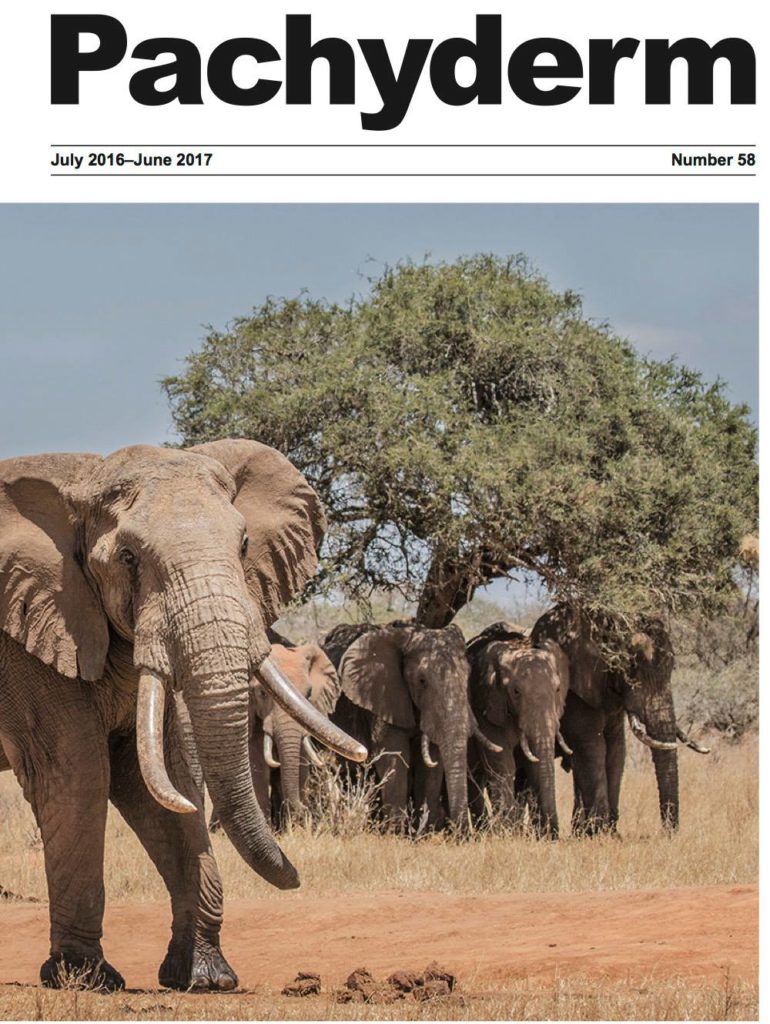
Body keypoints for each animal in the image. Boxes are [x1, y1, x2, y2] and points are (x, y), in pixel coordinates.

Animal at [0, 440, 365, 991]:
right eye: (128, 558)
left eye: (243, 546)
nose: (298, 876)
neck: (84, 481)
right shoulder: (29, 634)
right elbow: (76, 772)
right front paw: (84, 978)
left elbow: (162, 776)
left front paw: (205, 977)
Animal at [325, 621, 499, 831]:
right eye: (422, 681)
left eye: (467, 678)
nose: (463, 833)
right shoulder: (382, 695)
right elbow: (394, 756)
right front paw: (395, 833)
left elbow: (432, 763)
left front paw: (424, 832)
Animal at [467, 622, 571, 838]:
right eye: (515, 692)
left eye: (557, 690)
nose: (554, 835)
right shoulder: (488, 706)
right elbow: (504, 763)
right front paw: (507, 833)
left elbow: (532, 767)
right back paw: (485, 833)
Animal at [531, 605, 708, 833]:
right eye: (631, 669)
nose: (668, 835)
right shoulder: (575, 691)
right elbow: (592, 747)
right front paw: (600, 833)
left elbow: (616, 749)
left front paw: (608, 832)